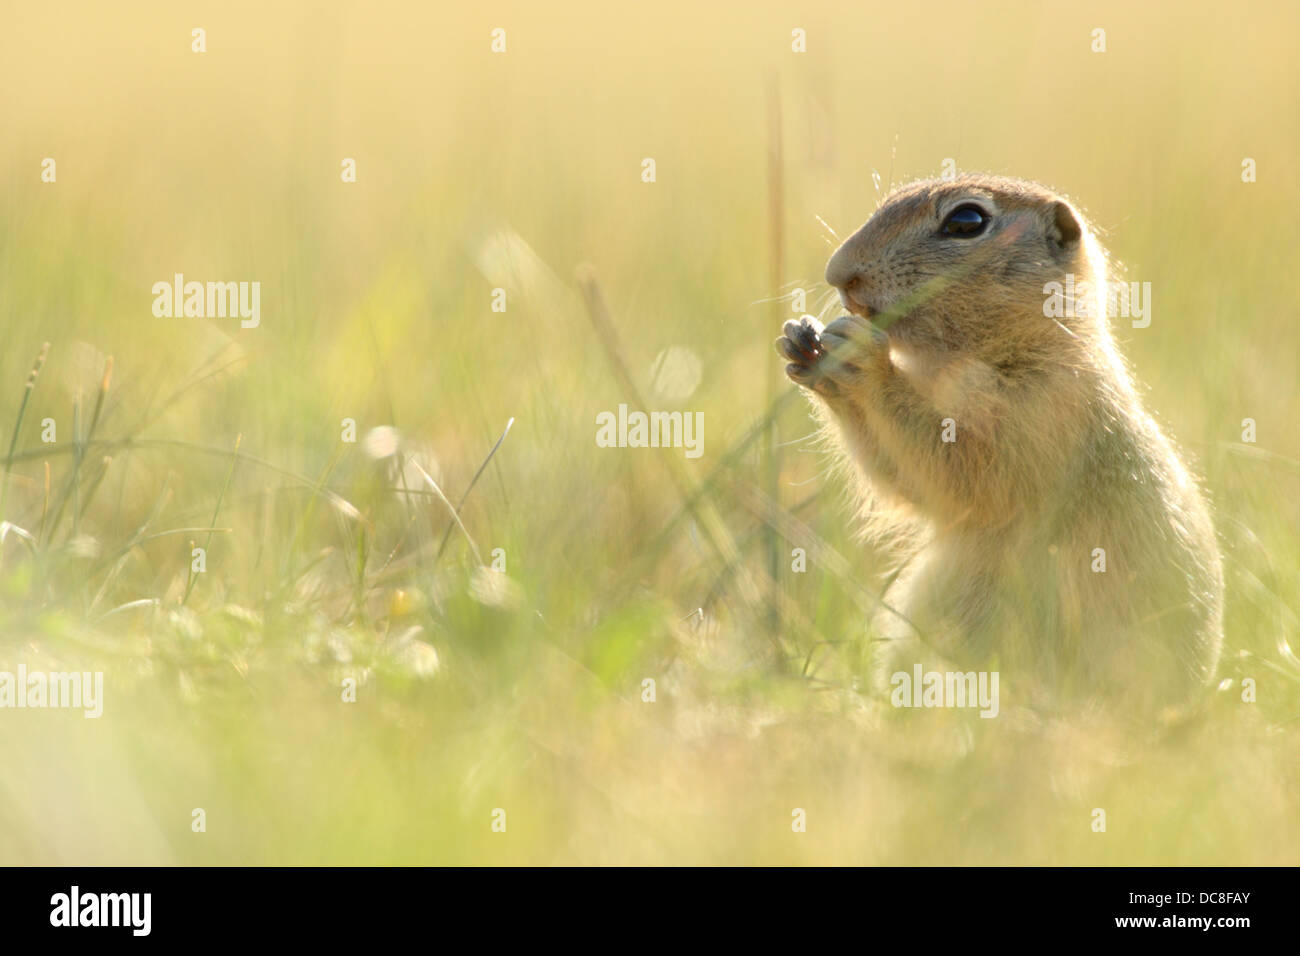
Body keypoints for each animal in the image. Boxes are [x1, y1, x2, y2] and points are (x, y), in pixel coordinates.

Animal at [776, 174, 1222, 722]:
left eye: (966, 221)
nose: (838, 274)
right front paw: (801, 340)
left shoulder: (1046, 408)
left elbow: (967, 470)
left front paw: (861, 360)